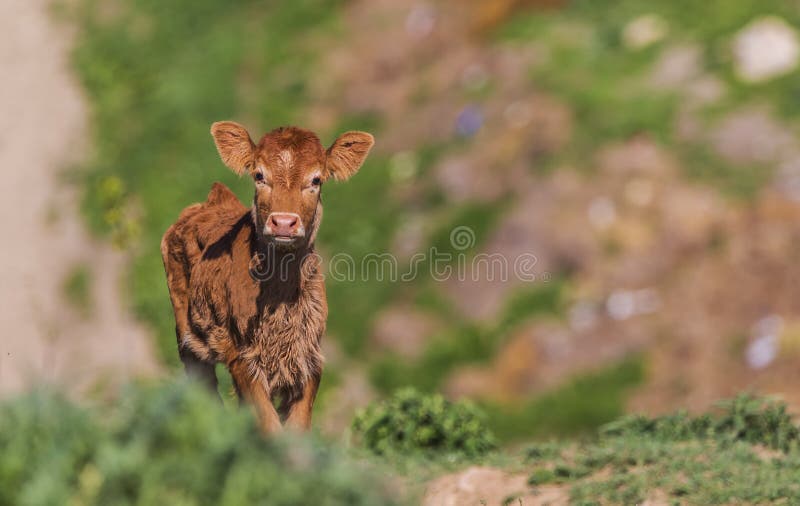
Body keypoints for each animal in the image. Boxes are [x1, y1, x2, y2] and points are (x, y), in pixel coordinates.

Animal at [161, 121, 374, 433]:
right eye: (259, 175)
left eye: (316, 180)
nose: (284, 222)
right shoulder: (243, 358)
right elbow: (270, 426)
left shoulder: (308, 357)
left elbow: (297, 428)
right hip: (187, 331)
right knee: (204, 387)